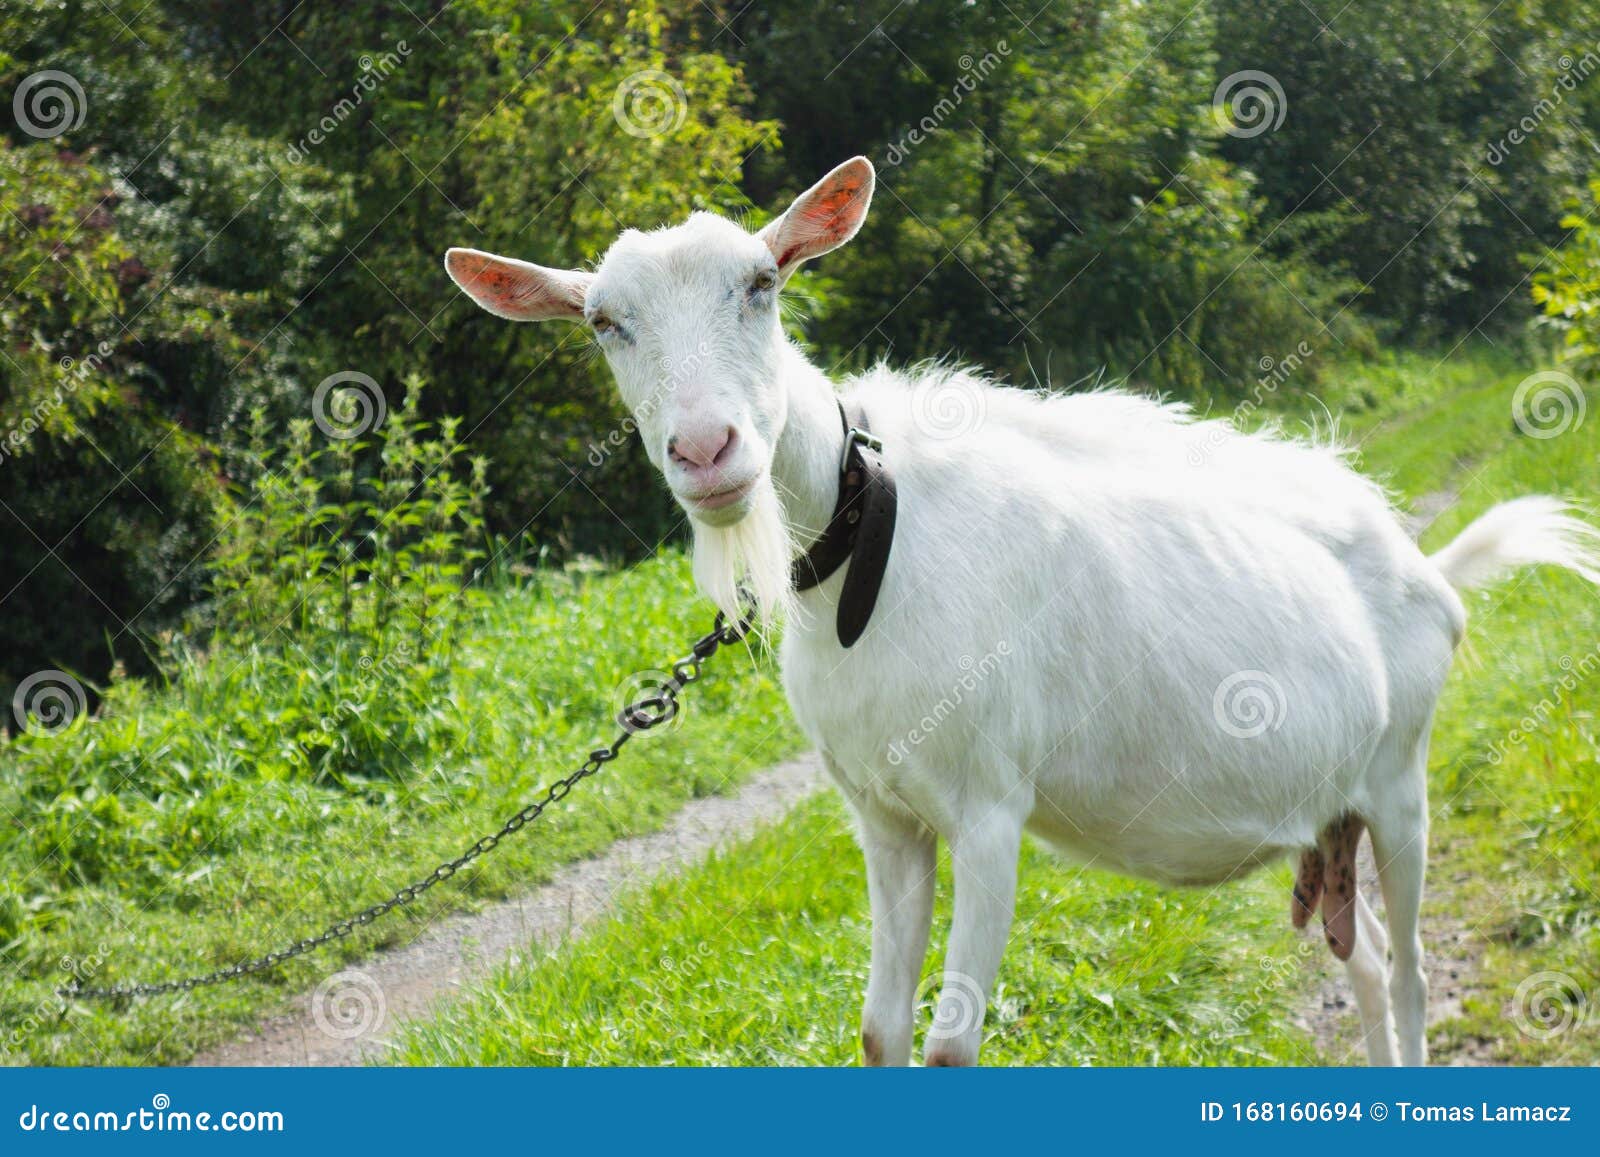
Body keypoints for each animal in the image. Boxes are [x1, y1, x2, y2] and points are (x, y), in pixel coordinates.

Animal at [445, 157, 1600, 1066]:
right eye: (604, 322)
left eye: (763, 283)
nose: (705, 449)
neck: (869, 546)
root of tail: (1423, 562)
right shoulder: (883, 816)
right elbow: (880, 1031)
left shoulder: (989, 805)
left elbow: (951, 1044)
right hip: (1327, 812)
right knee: (1360, 963)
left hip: (1402, 781)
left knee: (1409, 973)